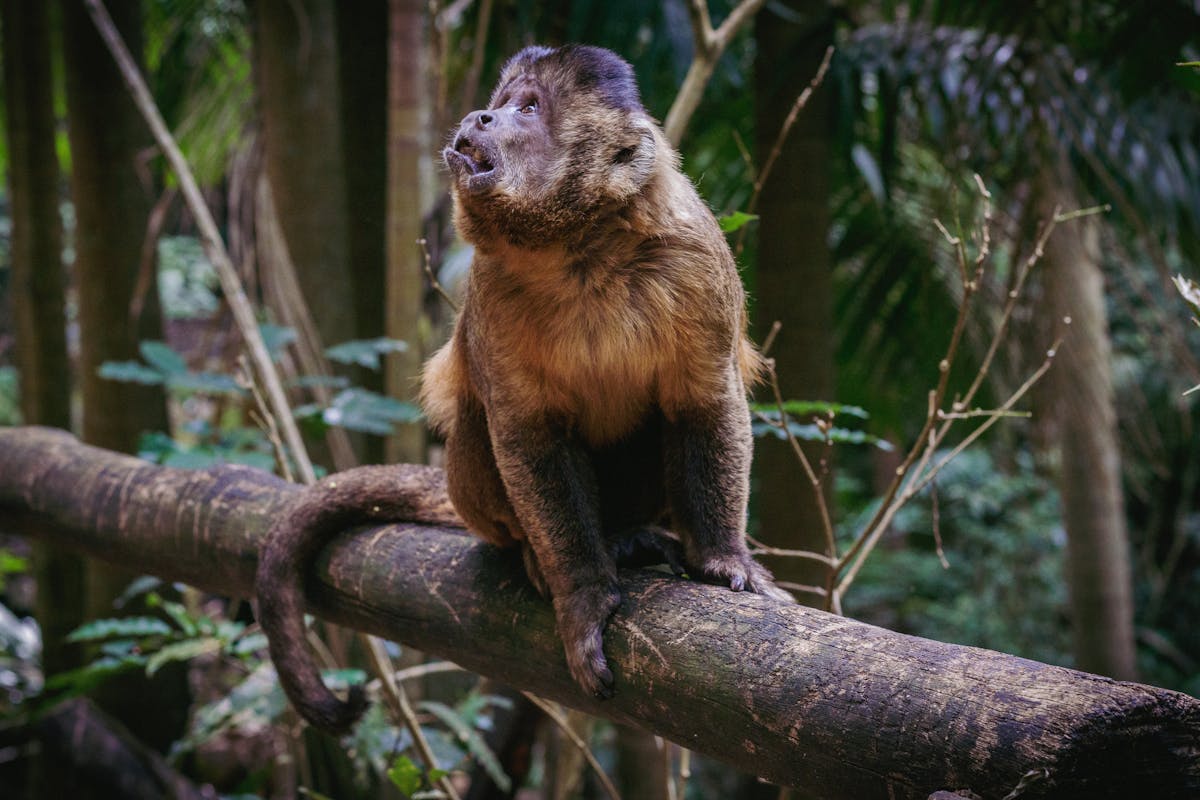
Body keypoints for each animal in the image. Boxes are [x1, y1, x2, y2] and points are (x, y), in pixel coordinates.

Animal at [255, 44, 791, 735]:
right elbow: (526, 433)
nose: (481, 116)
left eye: (528, 109)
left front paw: (724, 557)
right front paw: (583, 591)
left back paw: (631, 532)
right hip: (473, 493)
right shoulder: (491, 287)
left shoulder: (695, 261)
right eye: (503, 101)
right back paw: (558, 551)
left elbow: (703, 402)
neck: (582, 249)